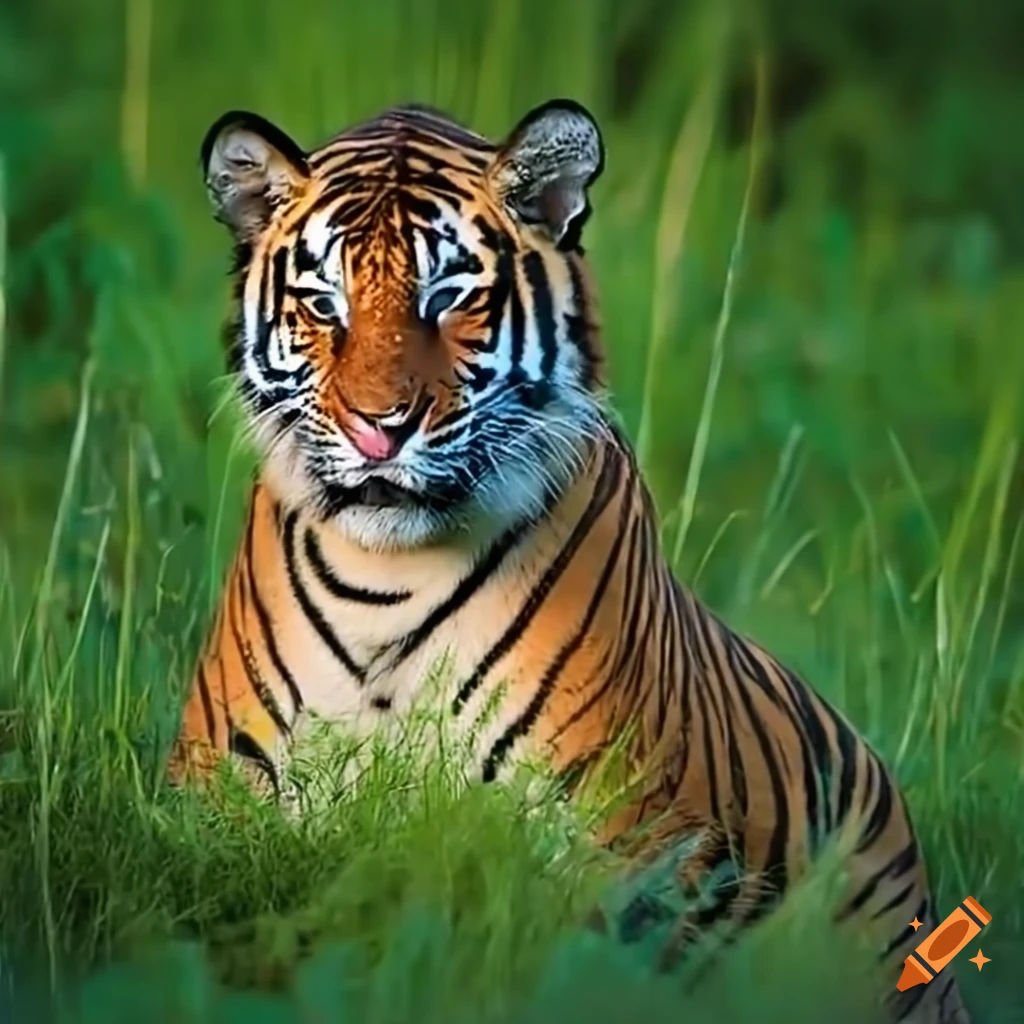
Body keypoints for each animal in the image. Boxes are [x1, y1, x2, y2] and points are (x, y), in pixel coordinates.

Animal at [168, 99, 970, 1023]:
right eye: (324, 303)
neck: (384, 581)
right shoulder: (221, 792)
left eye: (449, 297)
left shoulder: (604, 847)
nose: (379, 429)